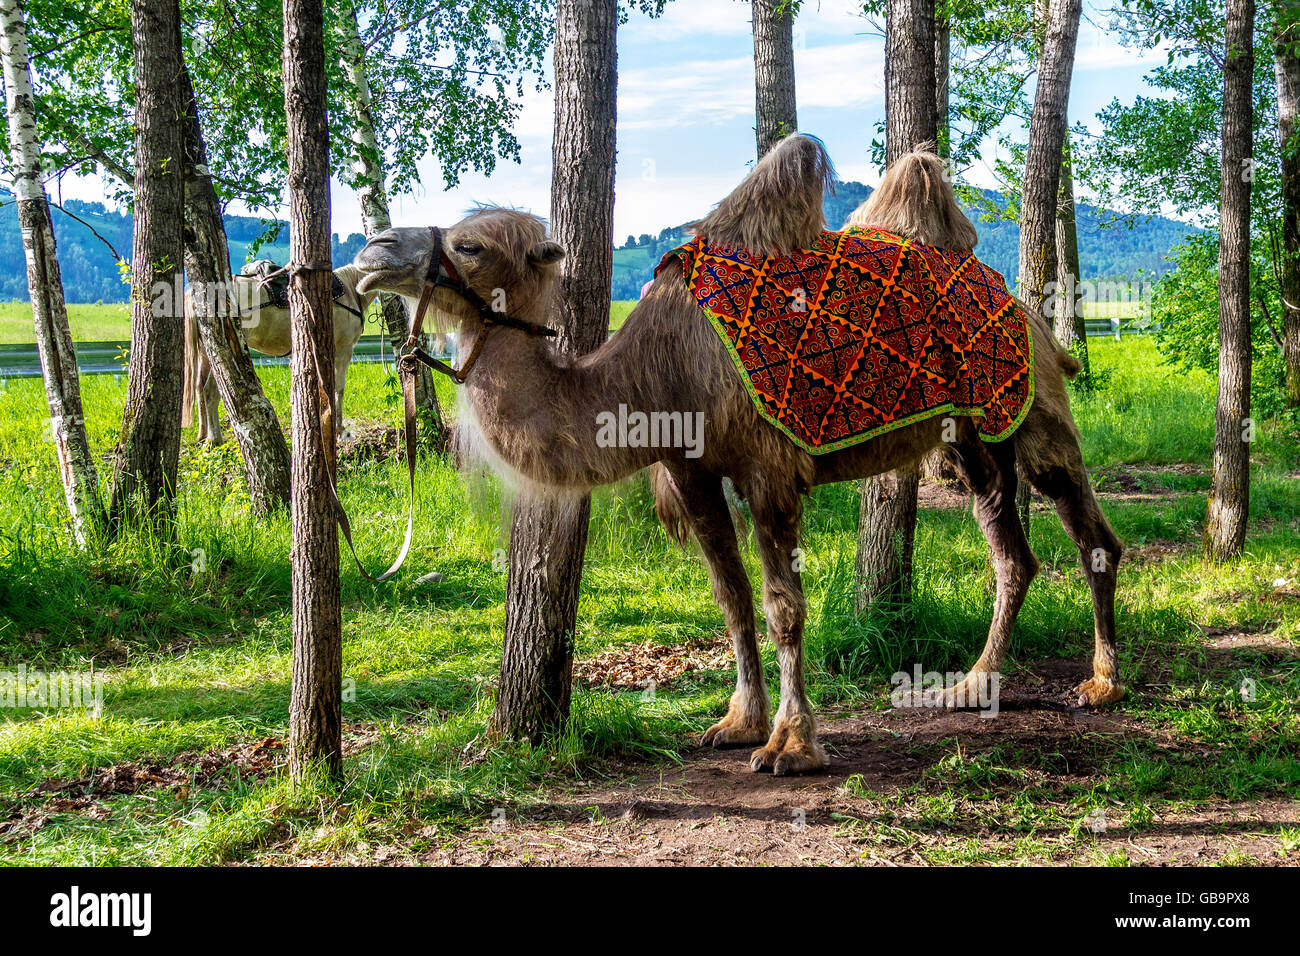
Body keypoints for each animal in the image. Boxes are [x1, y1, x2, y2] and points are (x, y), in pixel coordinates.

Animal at [181, 261, 376, 443]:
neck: (350, 290)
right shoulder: (343, 350)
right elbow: (338, 390)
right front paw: (339, 431)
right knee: (210, 391)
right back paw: (214, 438)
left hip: (206, 351)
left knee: (198, 387)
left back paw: (202, 434)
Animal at [350, 134, 1124, 776]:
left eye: (471, 246)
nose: (371, 251)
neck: (648, 375)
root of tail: (1022, 307)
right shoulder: (688, 469)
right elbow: (732, 597)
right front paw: (739, 721)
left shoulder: (766, 468)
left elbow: (785, 605)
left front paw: (792, 745)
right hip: (968, 437)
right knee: (1010, 550)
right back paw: (971, 683)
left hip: (1029, 406)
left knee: (1091, 531)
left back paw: (1102, 681)